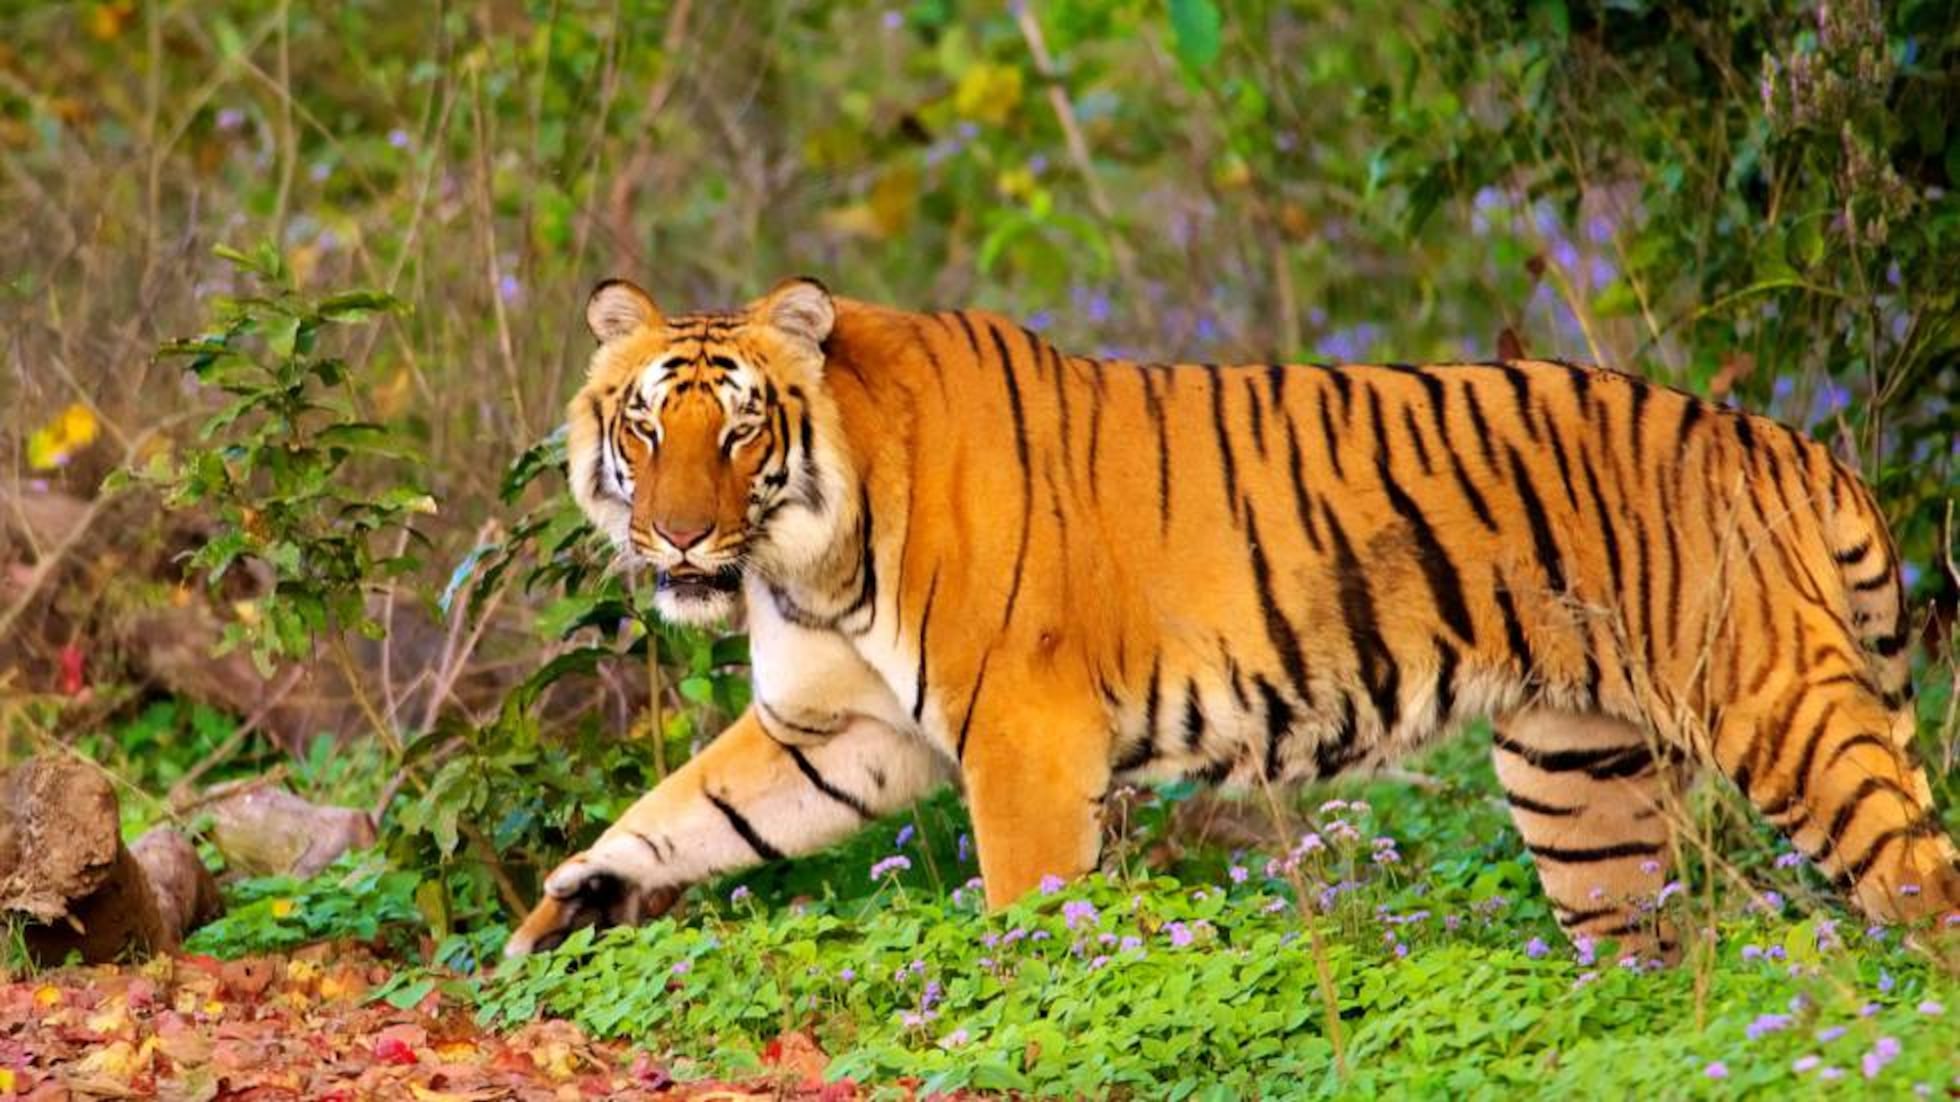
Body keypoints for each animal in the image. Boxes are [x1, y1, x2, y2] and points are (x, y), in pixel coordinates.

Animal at [502, 275, 1959, 964]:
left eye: (740, 429)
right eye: (647, 424)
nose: (678, 536)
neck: (814, 555)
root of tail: (1791, 443)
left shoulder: (1022, 736)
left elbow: (1030, 910)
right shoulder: (838, 729)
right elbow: (688, 811)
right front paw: (564, 910)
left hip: (1778, 707)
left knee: (1917, 876)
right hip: (1579, 779)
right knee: (1639, 938)